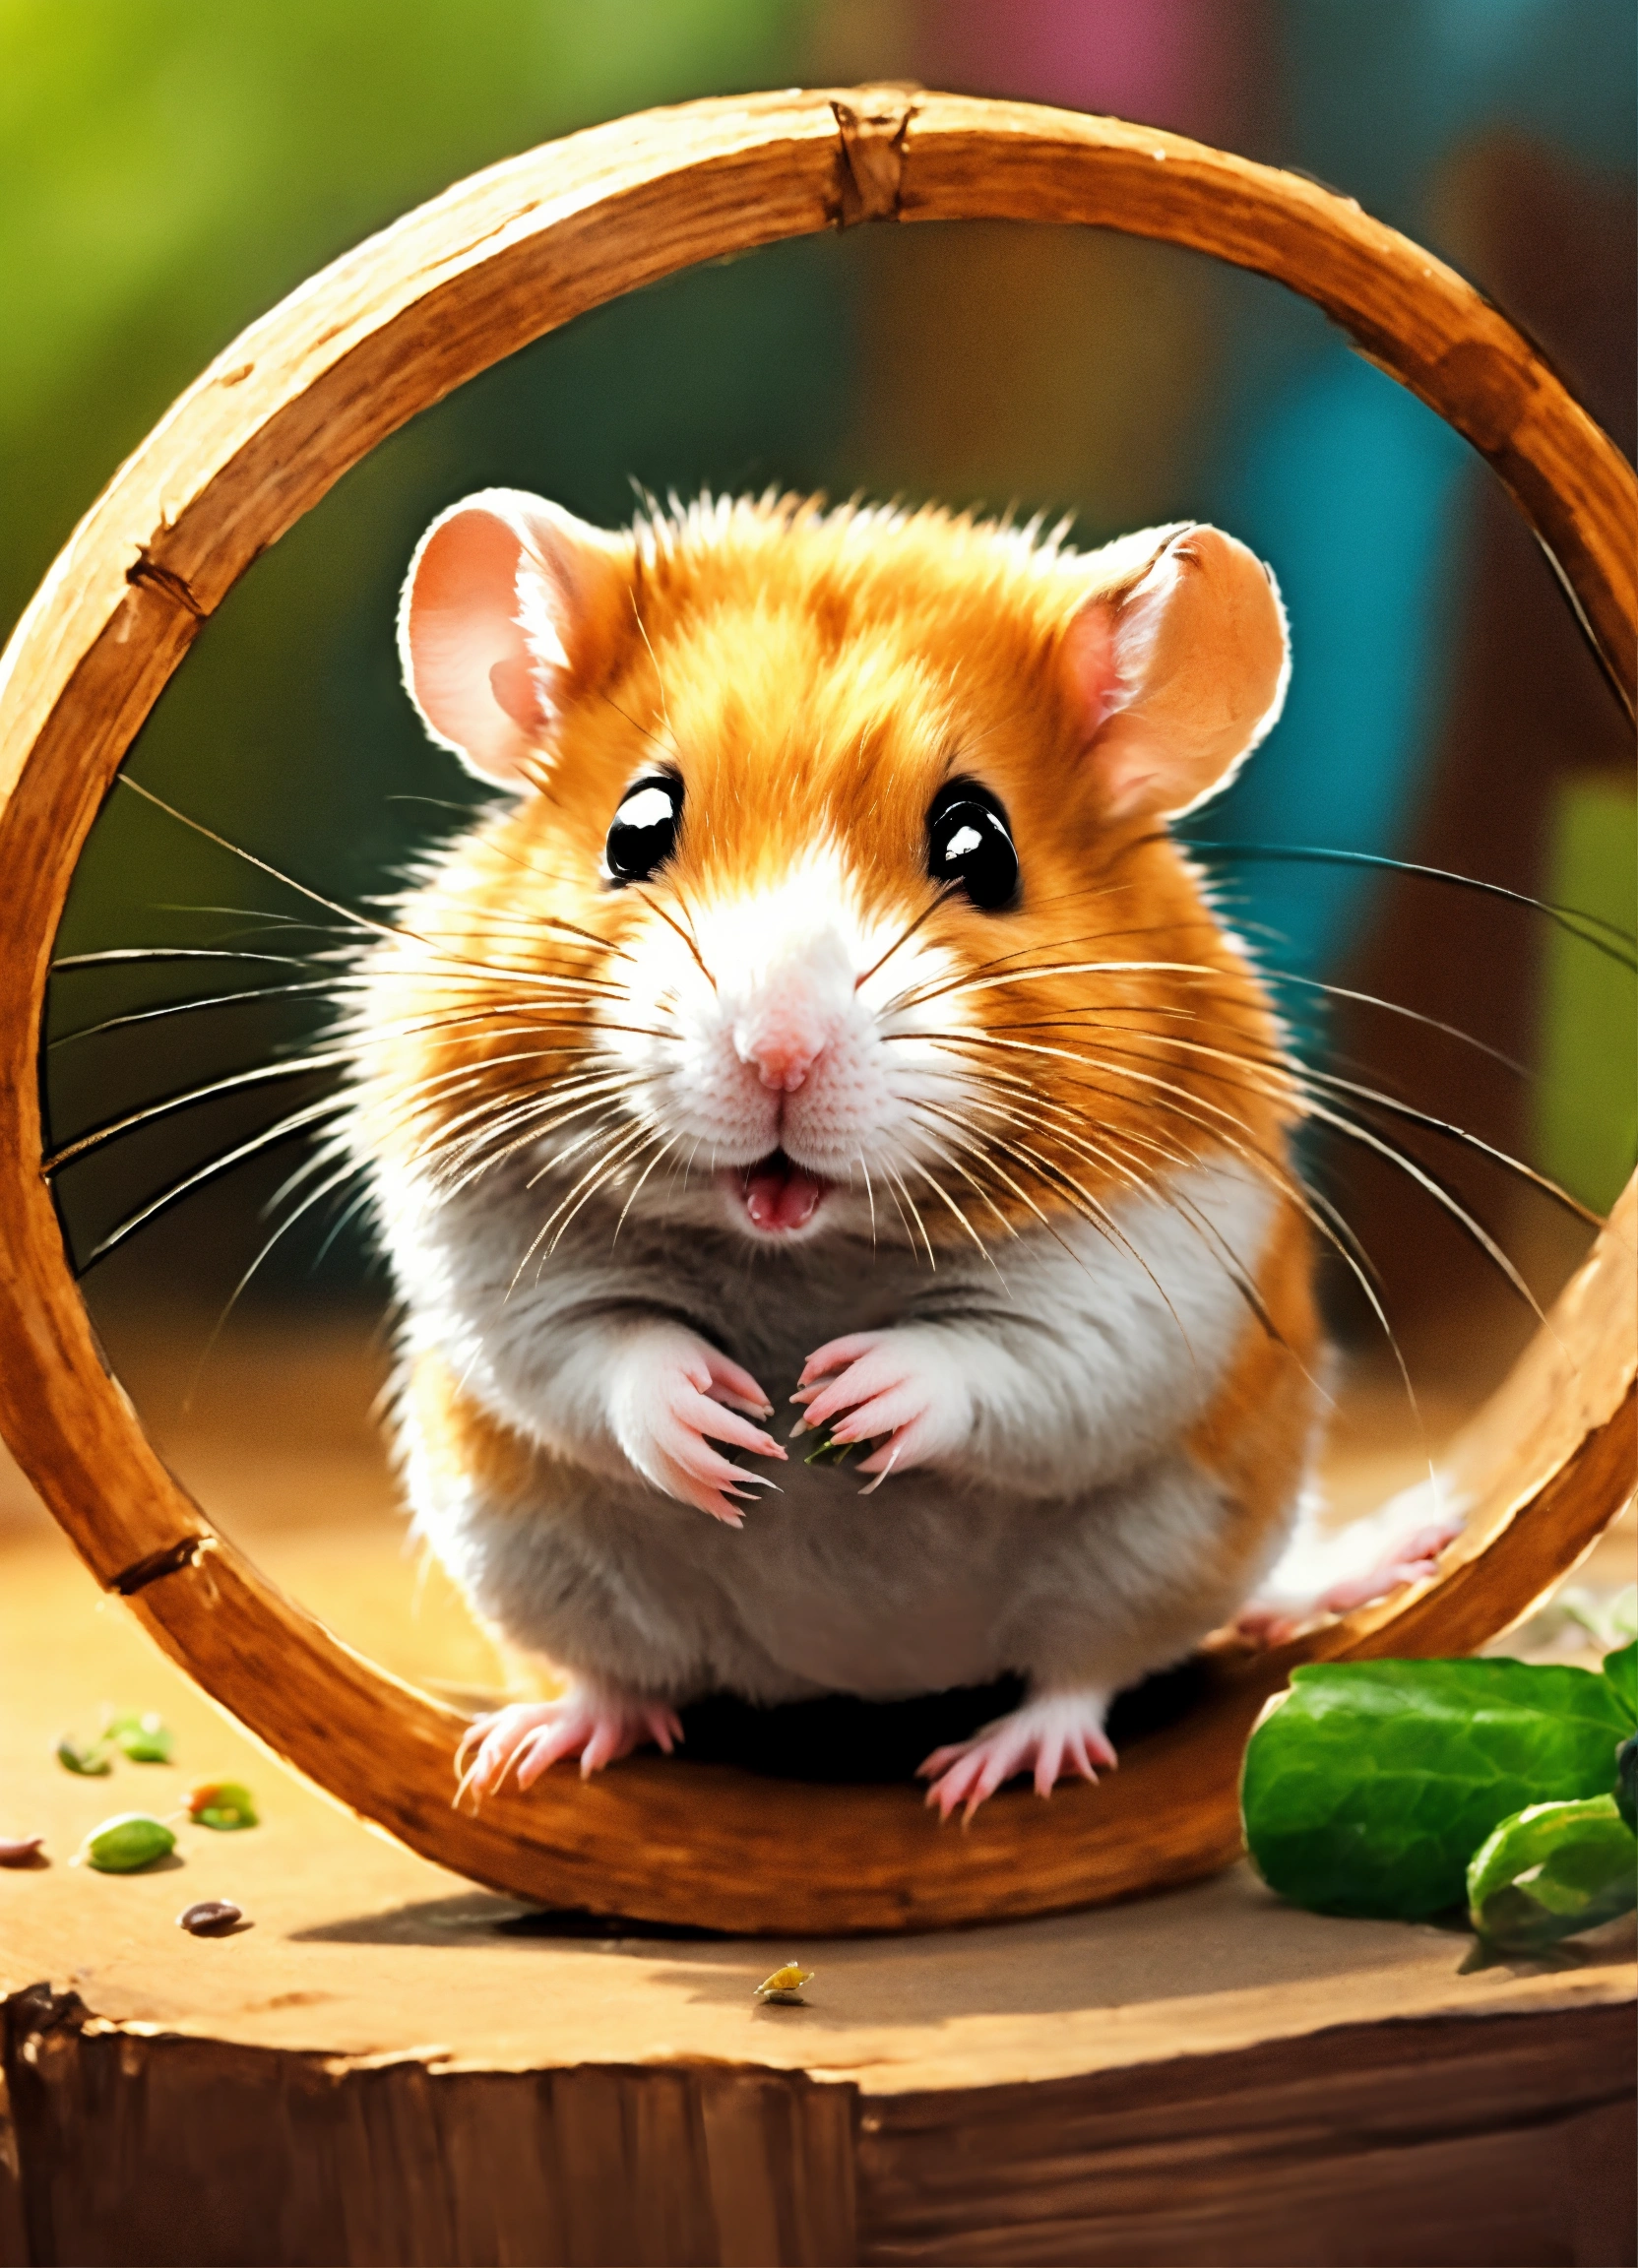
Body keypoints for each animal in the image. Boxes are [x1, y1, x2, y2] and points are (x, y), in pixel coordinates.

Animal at [348, 489, 1336, 1820]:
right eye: (634, 827)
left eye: (980, 845)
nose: (776, 1051)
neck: (802, 1248)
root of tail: (849, 1680)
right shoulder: (479, 1236)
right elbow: (591, 1348)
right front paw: (723, 1423)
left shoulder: (1163, 1266)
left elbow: (1022, 1357)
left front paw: (848, 1396)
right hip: (521, 1550)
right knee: (624, 1678)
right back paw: (542, 1743)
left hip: (1167, 1550)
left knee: (1083, 1672)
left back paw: (991, 1770)